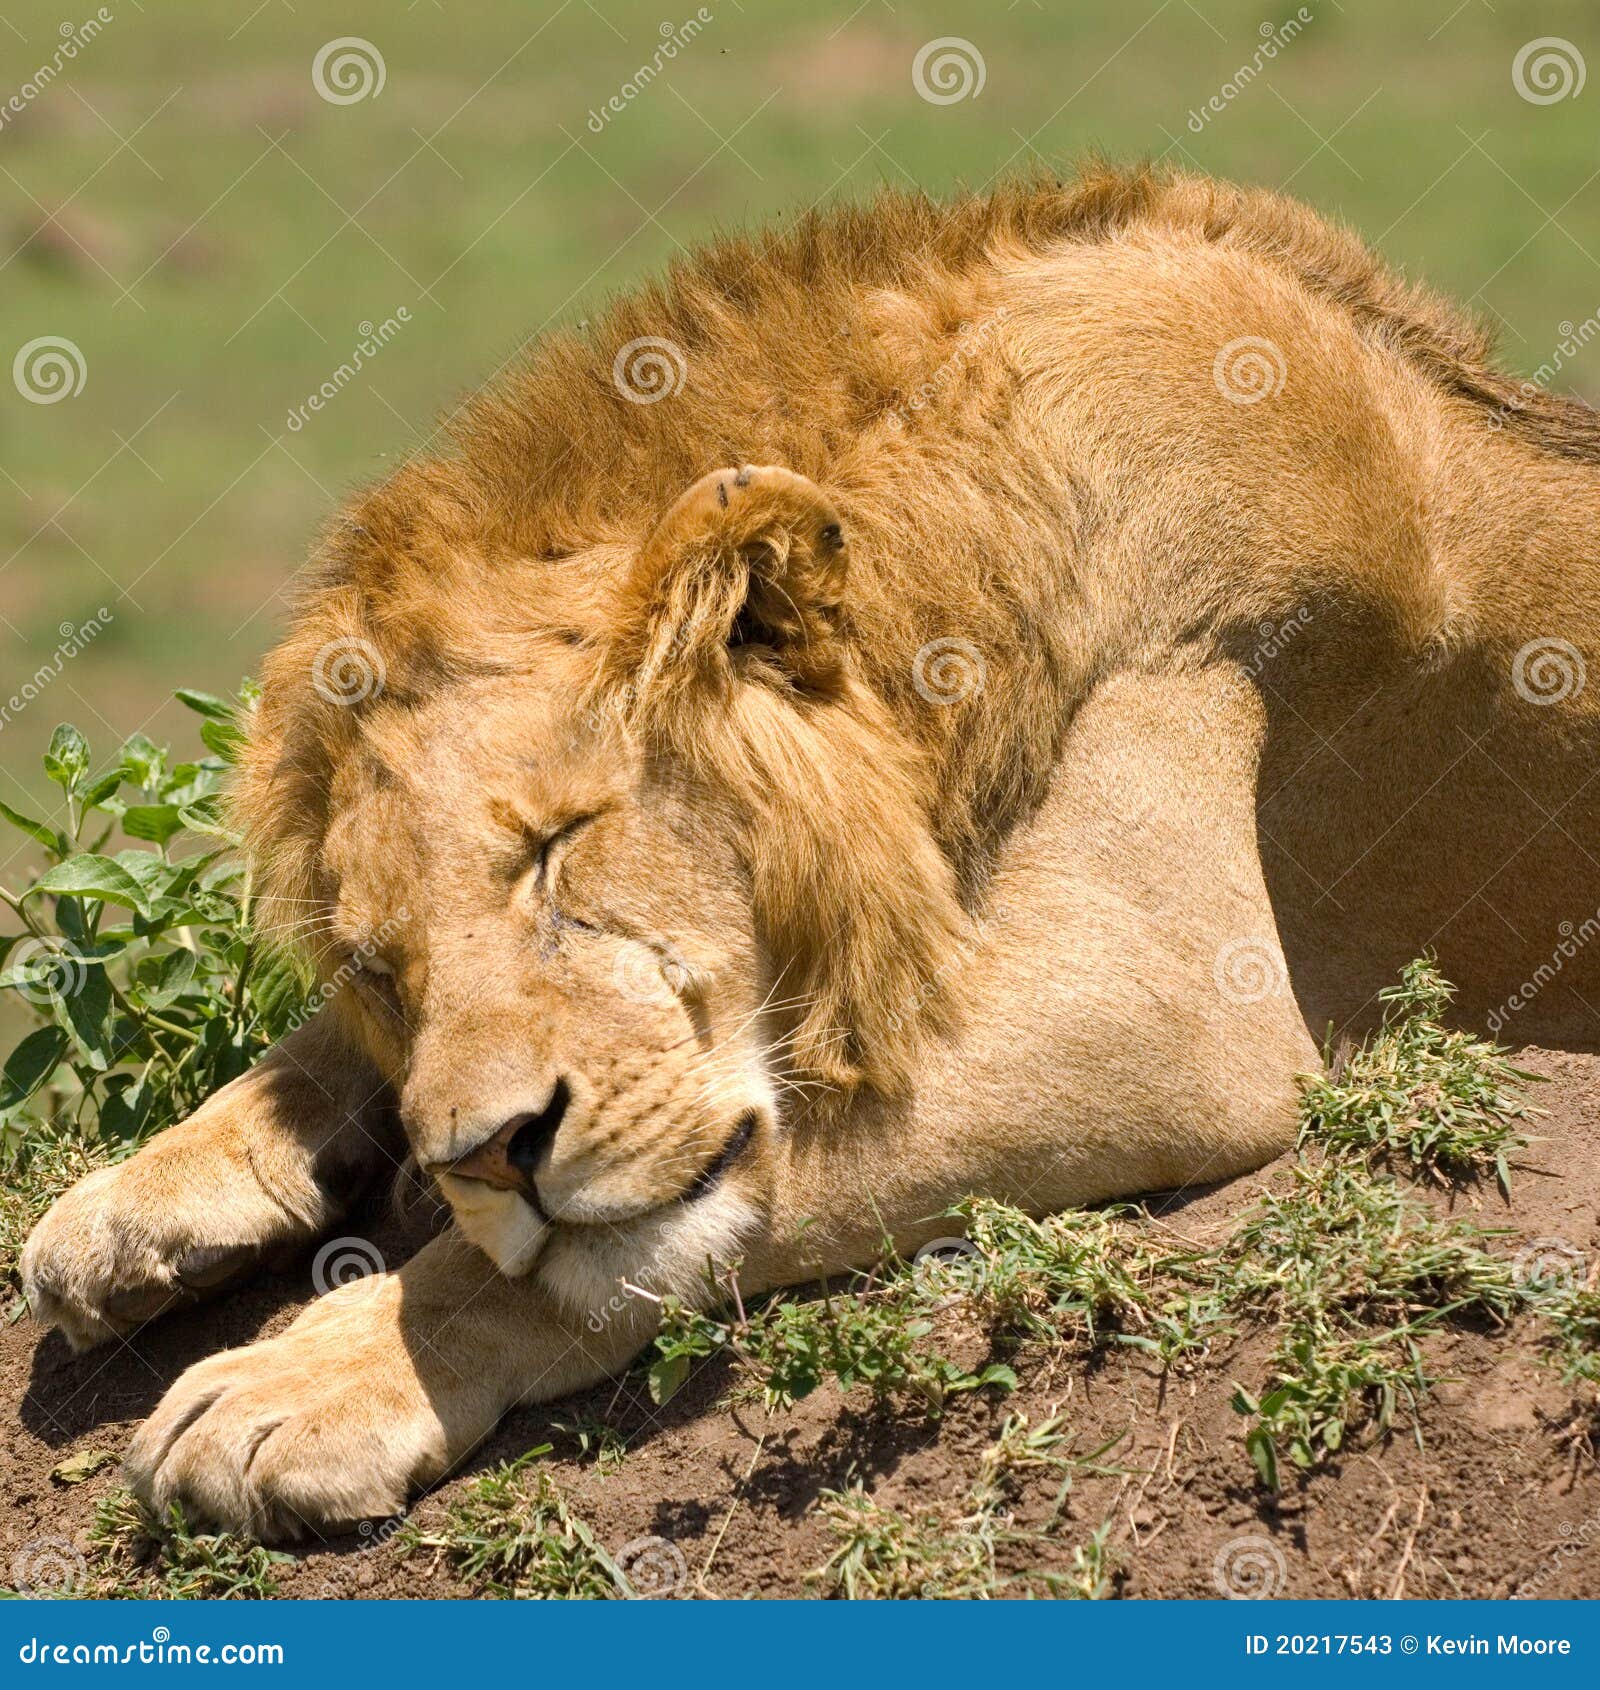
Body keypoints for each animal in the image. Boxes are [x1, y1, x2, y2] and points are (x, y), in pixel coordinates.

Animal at [21, 164, 1600, 1537]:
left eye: (558, 847)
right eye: (375, 969)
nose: (489, 1156)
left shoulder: (1164, 1000)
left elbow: (618, 1236)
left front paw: (304, 1379)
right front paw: (135, 1200)